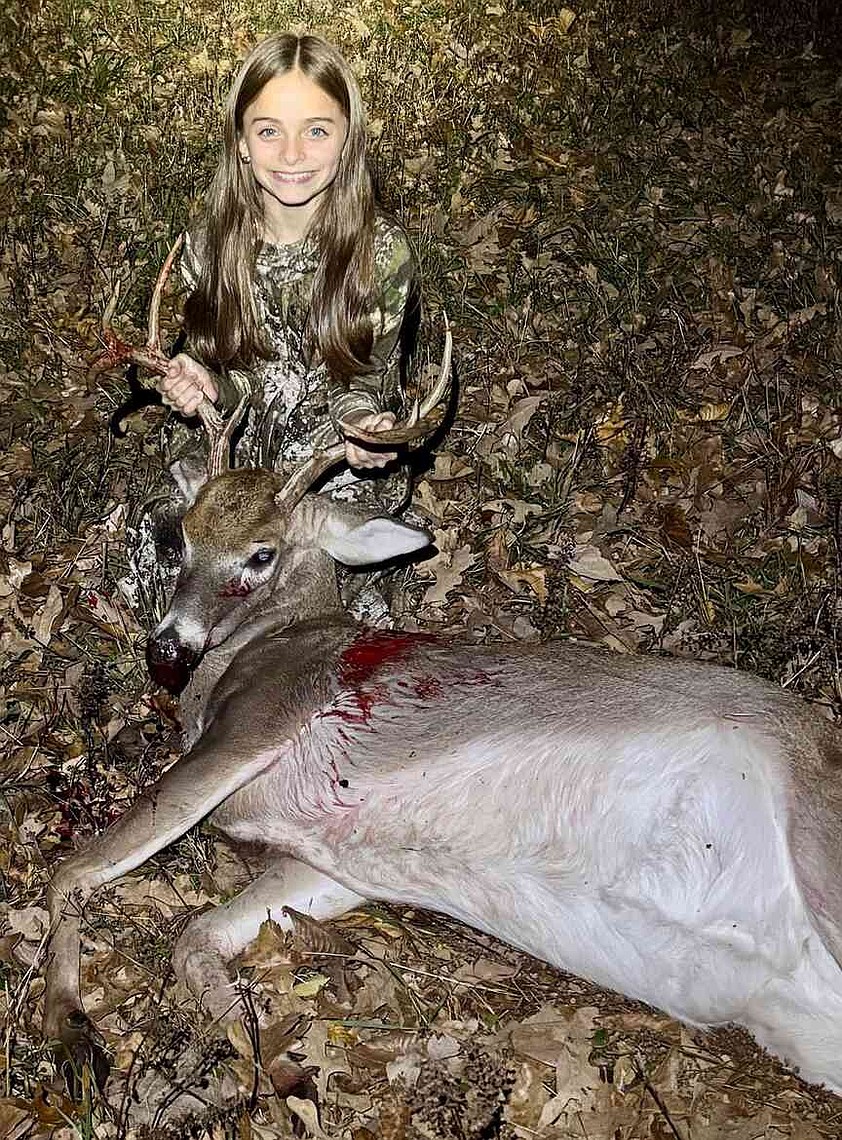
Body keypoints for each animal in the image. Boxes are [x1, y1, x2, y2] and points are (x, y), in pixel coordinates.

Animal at [42, 242, 842, 1104]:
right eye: (183, 535)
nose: (167, 648)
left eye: (260, 554)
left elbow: (72, 870)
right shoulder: (324, 864)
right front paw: (278, 1071)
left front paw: (72, 1033)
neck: (262, 648)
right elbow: (194, 938)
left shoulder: (255, 724)